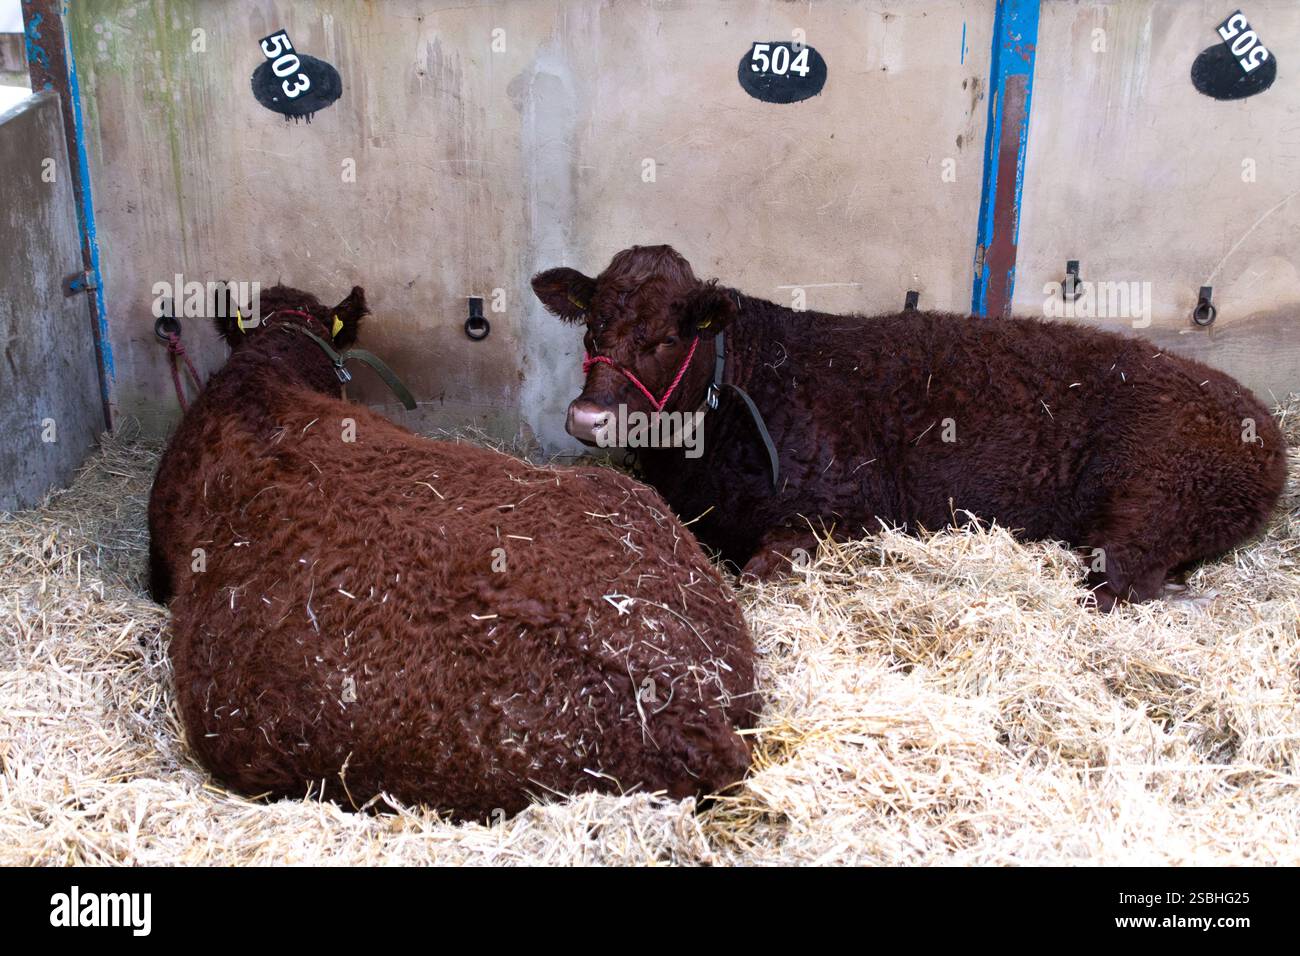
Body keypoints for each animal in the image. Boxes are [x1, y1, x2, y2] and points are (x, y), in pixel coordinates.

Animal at [532, 245, 1287, 609]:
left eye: (665, 338)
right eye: (592, 326)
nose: (588, 416)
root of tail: (1259, 418)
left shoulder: (825, 518)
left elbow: (754, 579)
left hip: (1150, 505)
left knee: (1123, 586)